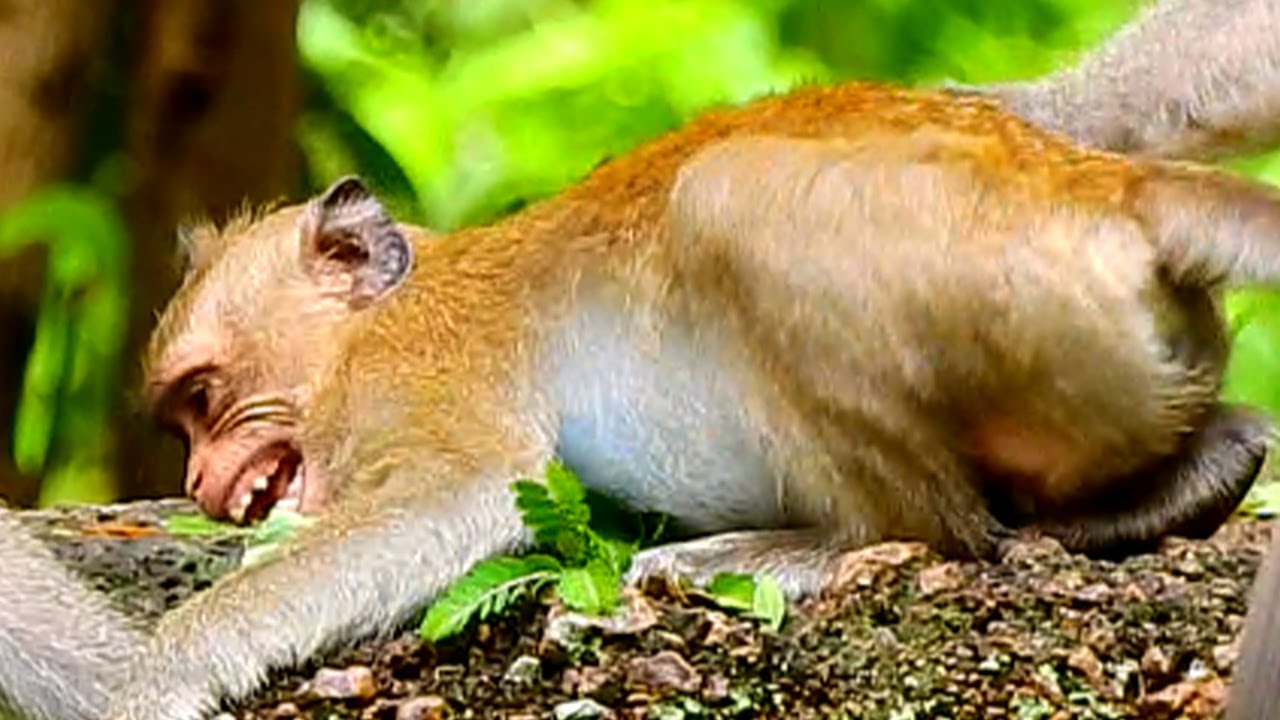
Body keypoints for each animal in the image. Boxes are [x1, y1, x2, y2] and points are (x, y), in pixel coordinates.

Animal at [100, 1, 1280, 718]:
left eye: (204, 396)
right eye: (181, 420)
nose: (198, 480)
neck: (378, 316)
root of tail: (1113, 195)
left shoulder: (418, 369)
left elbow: (458, 496)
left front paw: (156, 668)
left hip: (1014, 289)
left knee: (729, 205)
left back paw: (818, 548)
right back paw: (1187, 480)